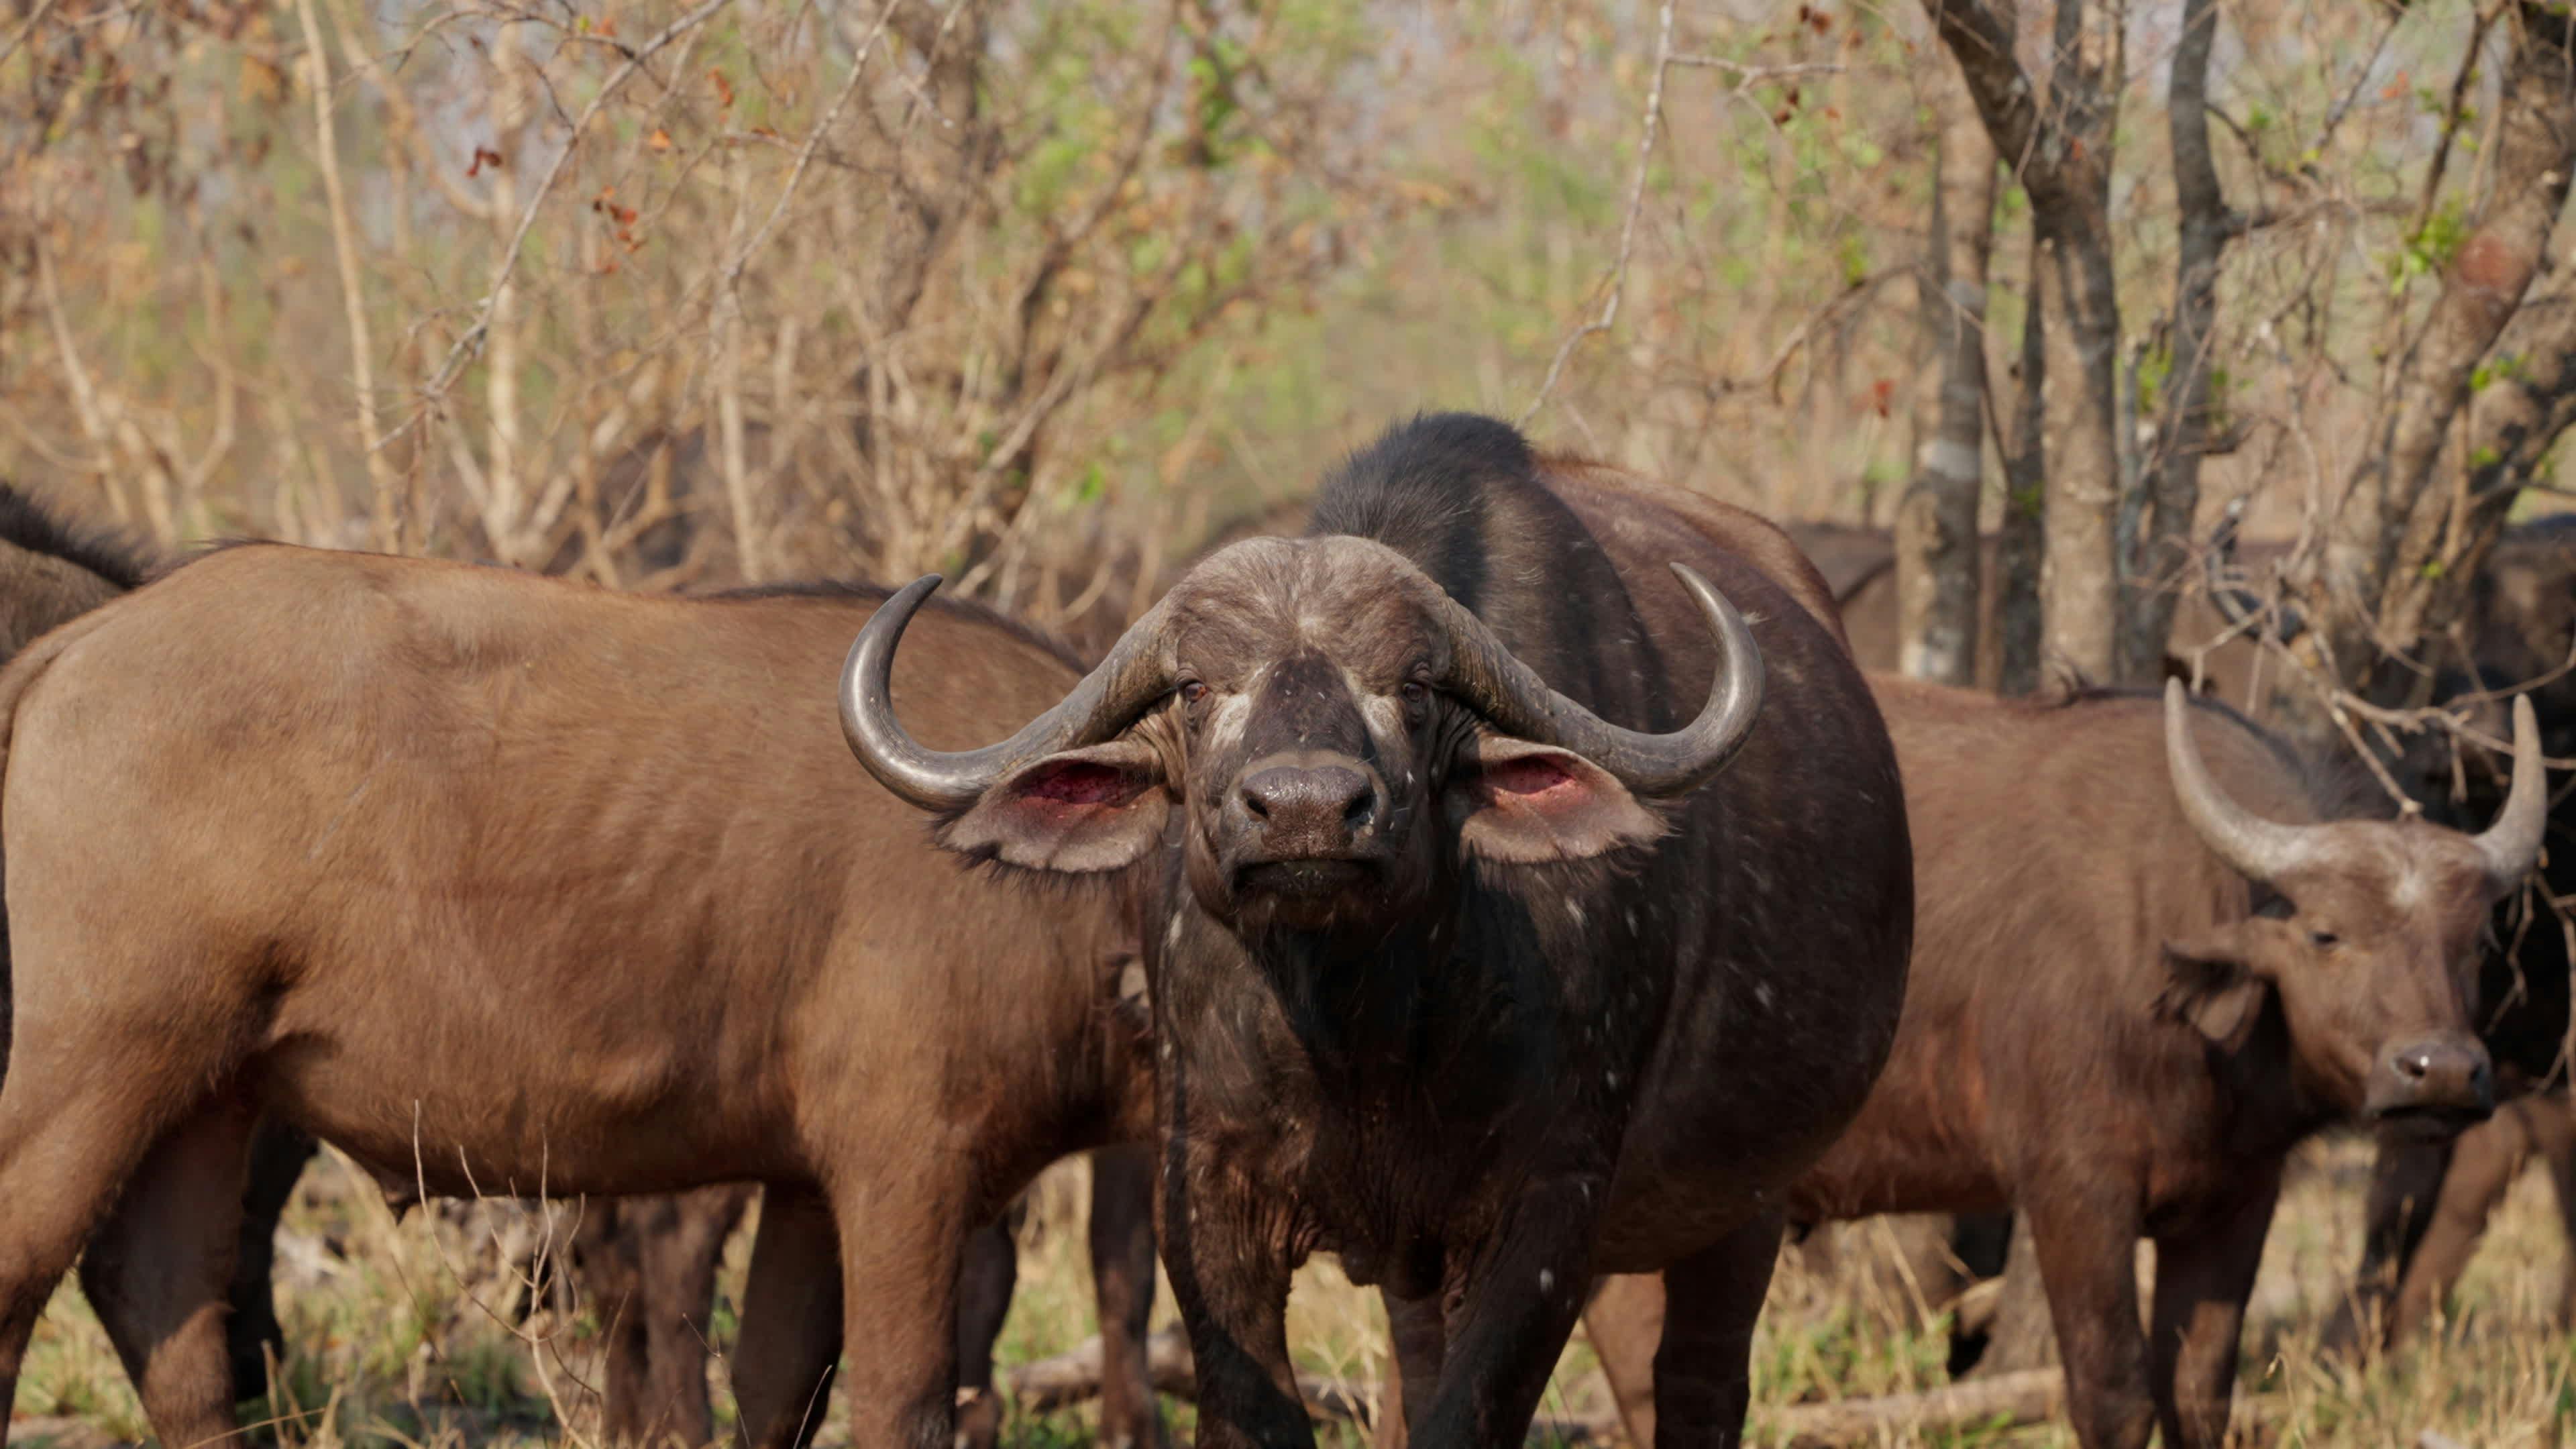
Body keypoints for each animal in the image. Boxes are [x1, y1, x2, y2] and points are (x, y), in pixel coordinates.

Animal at [0, 545, 1161, 1449]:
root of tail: (79, 647)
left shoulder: (805, 1184)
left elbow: (778, 1386)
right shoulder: (910, 1170)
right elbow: (903, 1398)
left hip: (209, 1094)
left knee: (165, 1310)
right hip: (90, 1070)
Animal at [840, 413, 1914, 1446]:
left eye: (1415, 688)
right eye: (1194, 689)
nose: (1306, 810)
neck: (1367, 1031)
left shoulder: (1549, 1213)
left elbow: (1465, 1417)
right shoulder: (1207, 1197)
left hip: (1747, 1201)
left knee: (1696, 1389)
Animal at [1581, 678, 2544, 1449]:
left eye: (2472, 942)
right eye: (2326, 934)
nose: (2441, 1070)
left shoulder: (2237, 1199)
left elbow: (2198, 1394)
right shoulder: (2074, 1189)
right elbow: (2113, 1393)